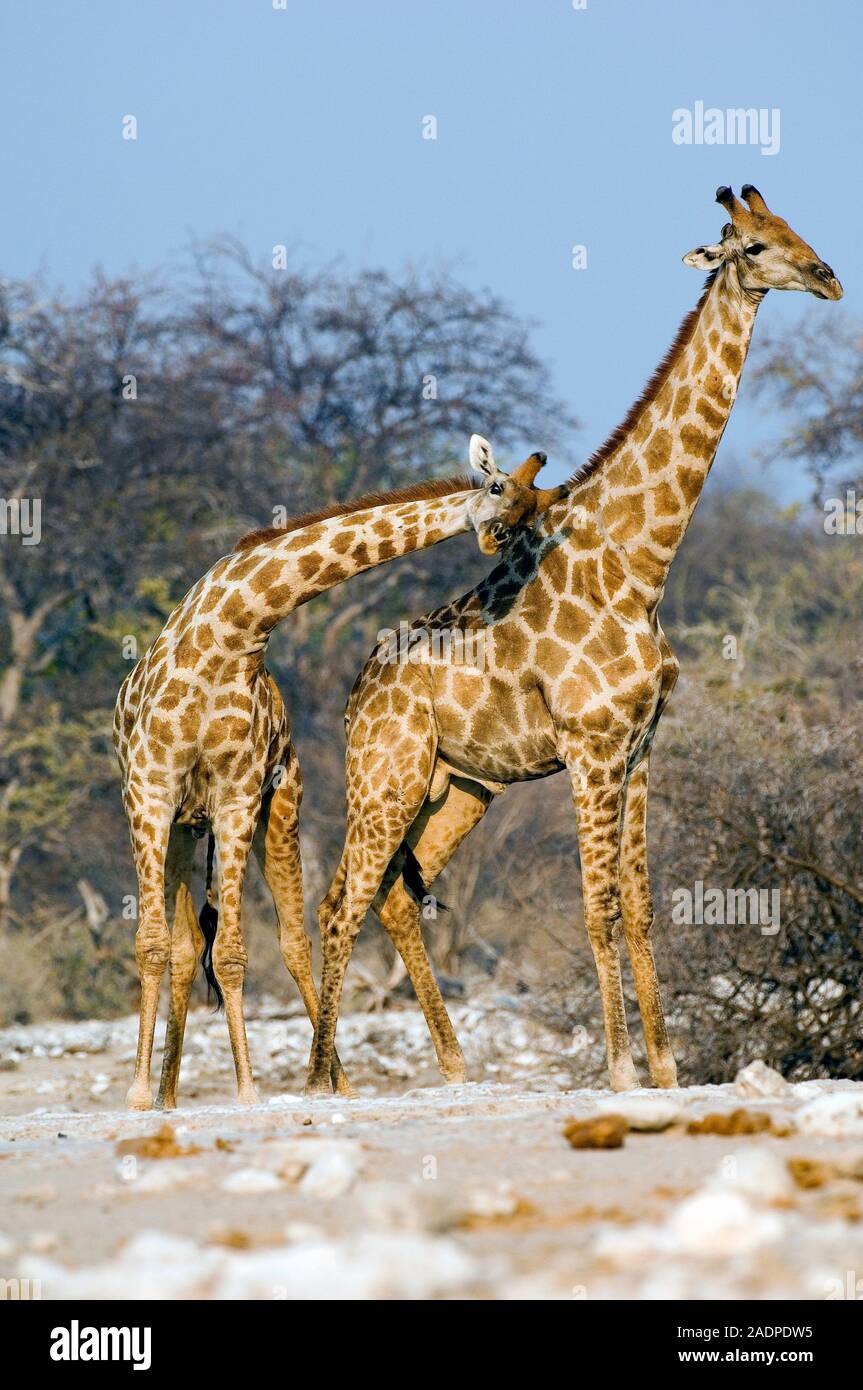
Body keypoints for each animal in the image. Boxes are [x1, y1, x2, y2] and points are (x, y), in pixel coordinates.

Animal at [113, 437, 565, 1110]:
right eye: (497, 490)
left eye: (529, 515)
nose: (498, 538)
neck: (227, 636)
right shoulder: (149, 788)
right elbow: (151, 944)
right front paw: (140, 1097)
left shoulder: (238, 795)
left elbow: (234, 953)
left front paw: (247, 1092)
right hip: (182, 829)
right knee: (183, 944)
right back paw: (167, 1094)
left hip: (271, 811)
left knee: (283, 941)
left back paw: (336, 1083)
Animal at [307, 186, 842, 1096]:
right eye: (754, 245)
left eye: (793, 227)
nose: (828, 277)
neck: (641, 563)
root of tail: (354, 696)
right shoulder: (590, 748)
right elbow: (597, 906)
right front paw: (621, 1068)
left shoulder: (639, 747)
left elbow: (641, 906)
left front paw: (665, 1067)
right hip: (385, 777)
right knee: (342, 899)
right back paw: (323, 1079)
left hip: (457, 788)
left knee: (390, 896)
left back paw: (450, 1066)